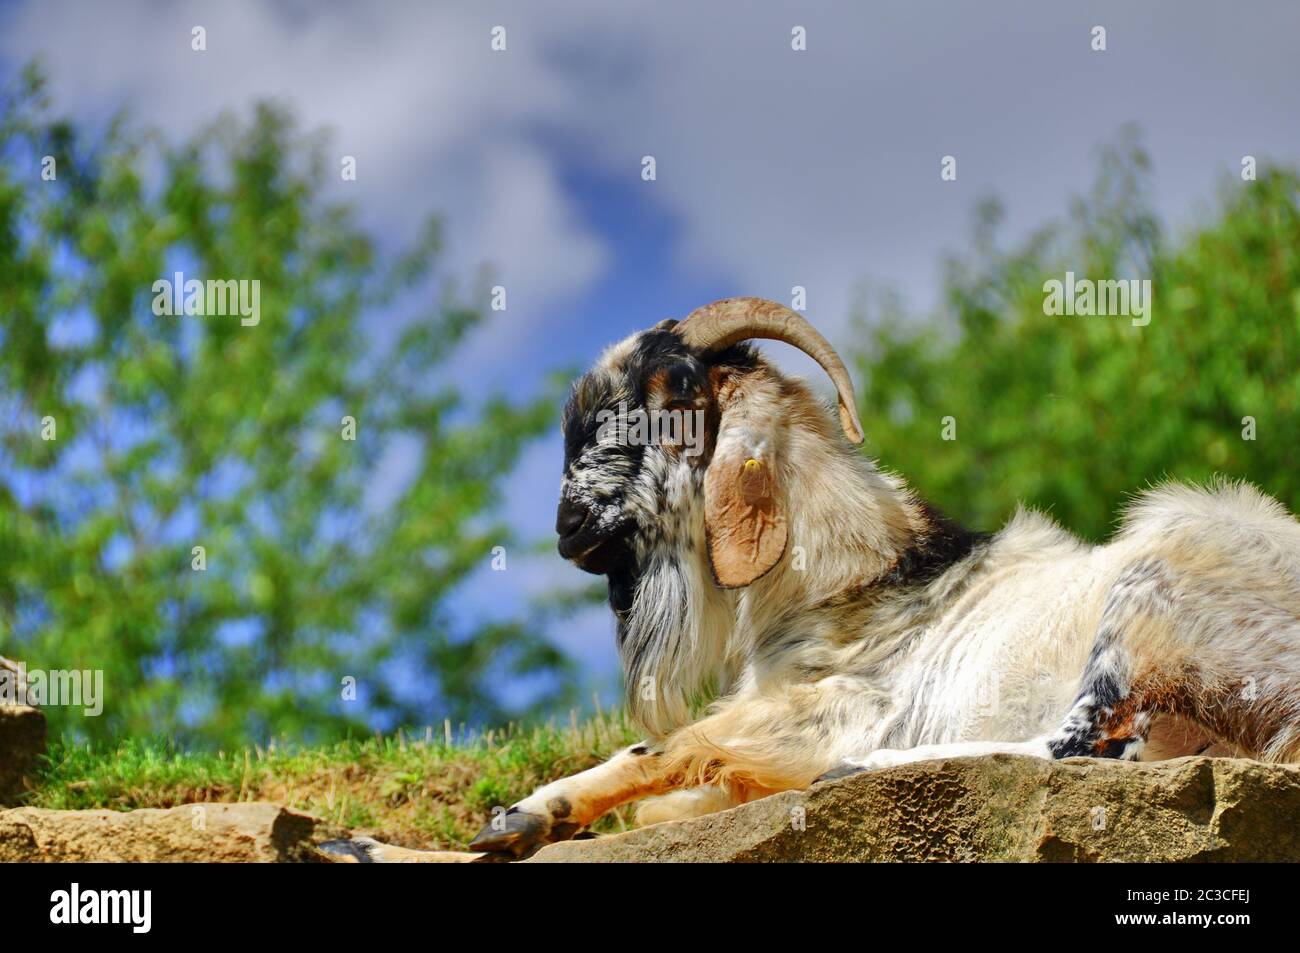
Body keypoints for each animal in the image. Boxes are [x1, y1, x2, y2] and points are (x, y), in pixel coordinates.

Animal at [325, 296, 1300, 863]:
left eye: (653, 414)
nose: (566, 529)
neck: (854, 582)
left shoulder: (835, 702)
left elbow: (668, 744)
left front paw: (524, 815)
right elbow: (676, 786)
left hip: (1164, 562)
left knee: (1077, 744)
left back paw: (865, 770)